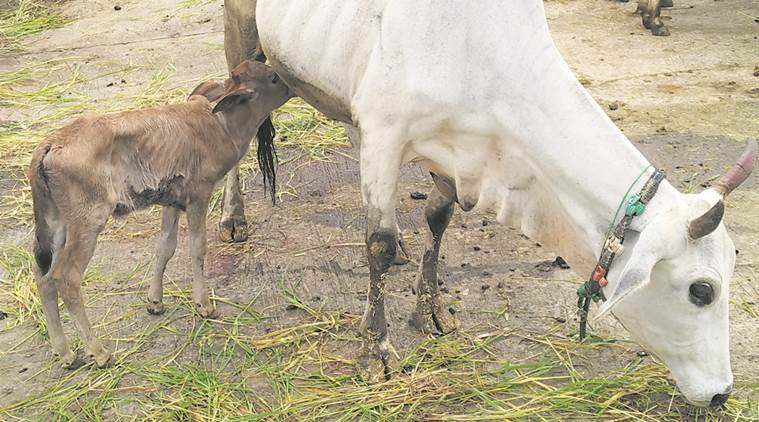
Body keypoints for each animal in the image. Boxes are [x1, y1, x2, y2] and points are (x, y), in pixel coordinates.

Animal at [221, 0, 754, 407]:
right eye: (701, 291)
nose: (721, 394)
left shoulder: (452, 152)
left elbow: (436, 218)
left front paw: (430, 310)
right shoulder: (386, 135)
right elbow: (378, 244)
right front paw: (375, 352)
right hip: (241, 40)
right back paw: (232, 217)